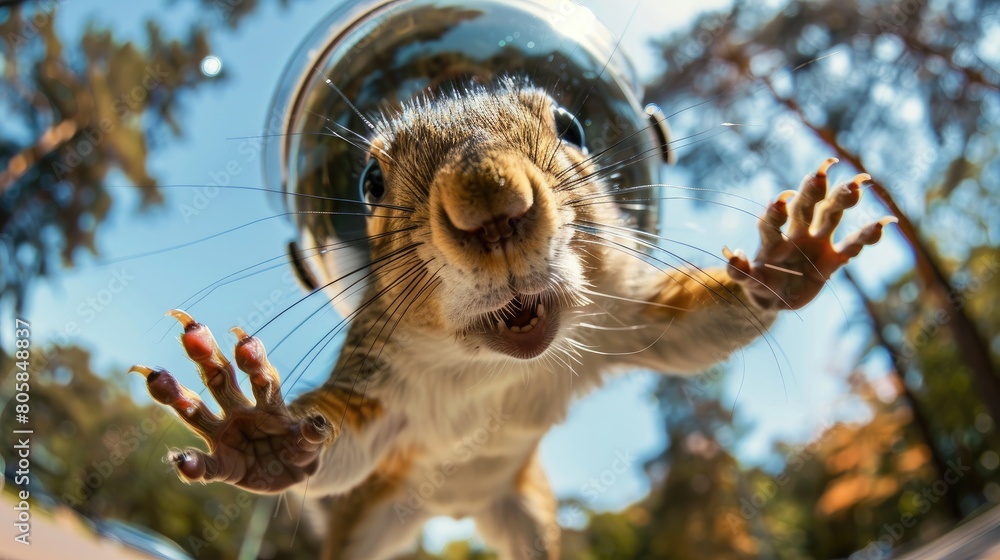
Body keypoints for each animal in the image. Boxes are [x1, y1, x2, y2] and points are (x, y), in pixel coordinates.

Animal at [128, 78, 894, 559]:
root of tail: (452, 512)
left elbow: (687, 333)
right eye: (370, 184)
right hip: (367, 515)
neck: (496, 364)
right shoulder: (382, 383)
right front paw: (261, 438)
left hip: (526, 511)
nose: (492, 206)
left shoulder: (627, 316)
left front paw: (786, 262)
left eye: (571, 127)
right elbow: (345, 437)